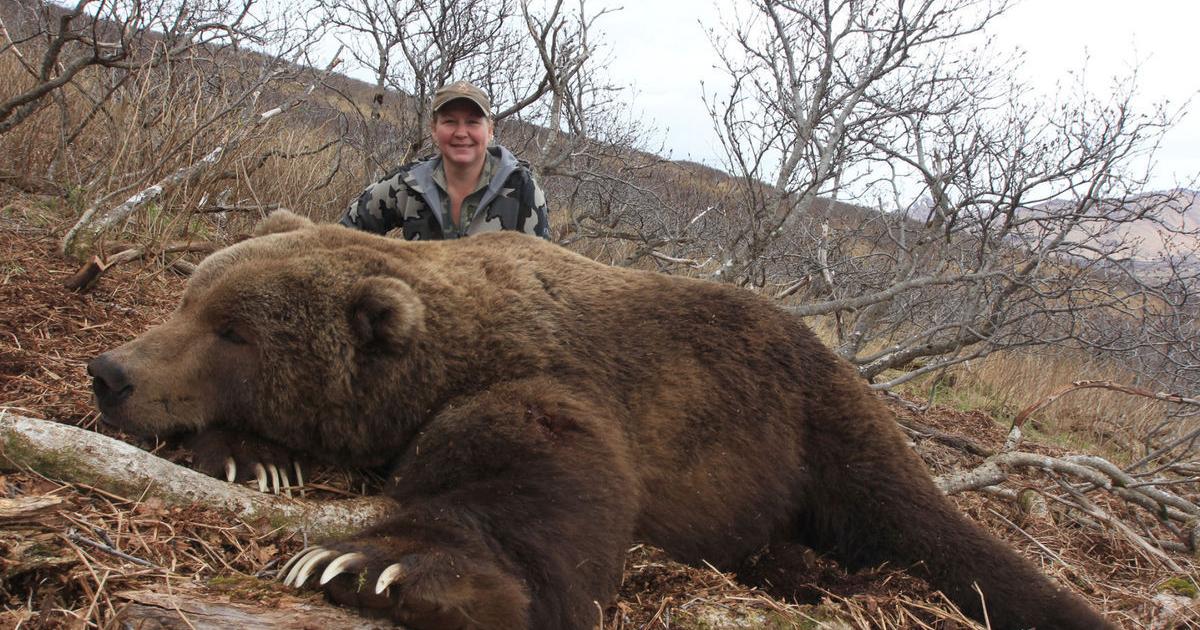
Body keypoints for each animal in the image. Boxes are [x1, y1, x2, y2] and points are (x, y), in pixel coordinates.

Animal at [88, 210, 1113, 630]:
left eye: (233, 332)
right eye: (190, 297)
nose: (111, 372)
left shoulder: (549, 380)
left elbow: (538, 483)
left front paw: (377, 565)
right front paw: (249, 459)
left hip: (820, 423)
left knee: (929, 526)